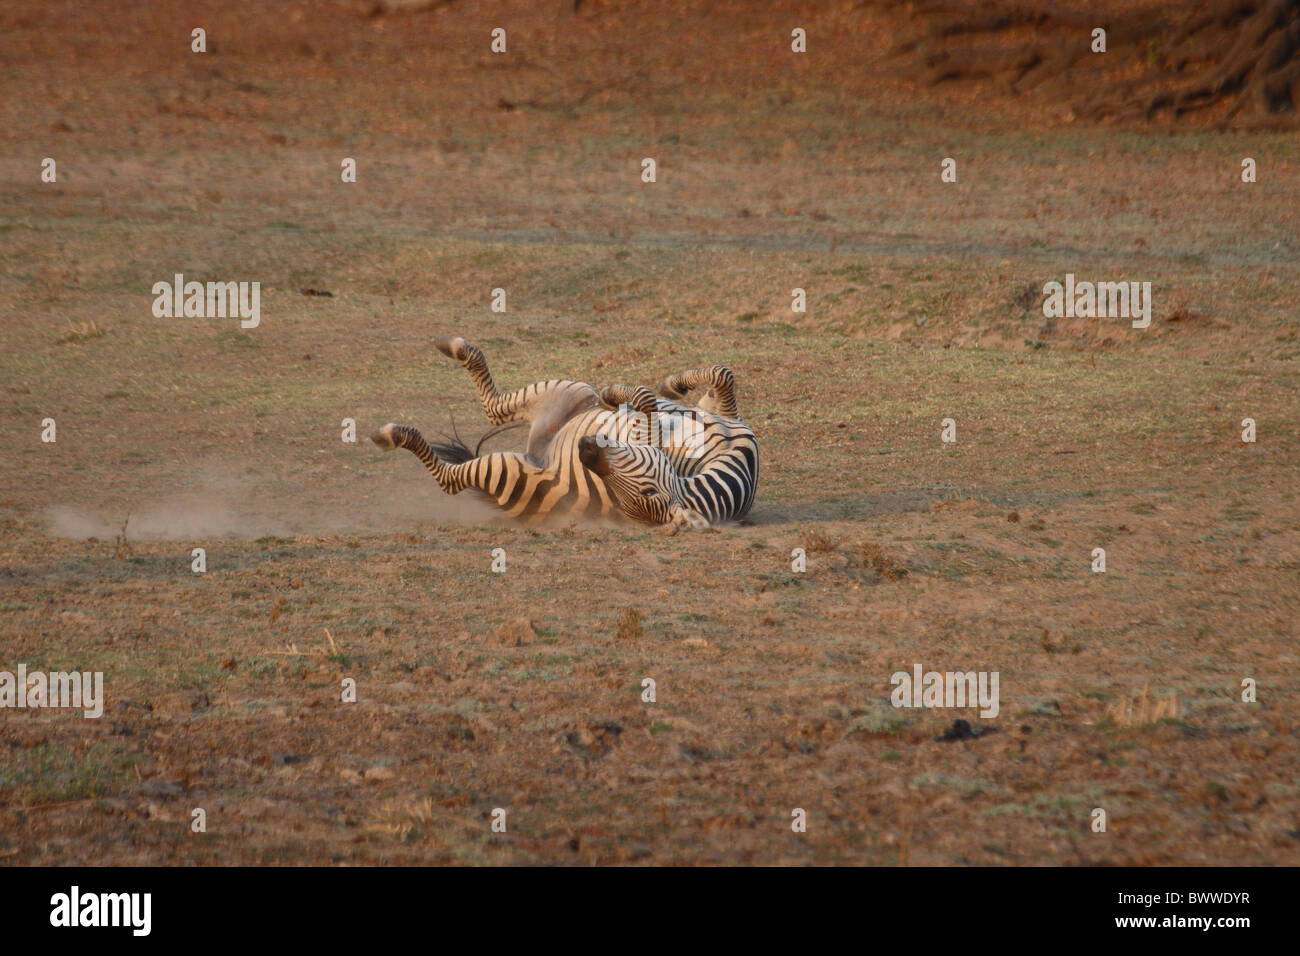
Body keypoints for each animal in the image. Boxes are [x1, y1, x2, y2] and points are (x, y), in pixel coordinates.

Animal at [370, 336, 758, 528]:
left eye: (643, 493)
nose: (586, 450)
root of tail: (539, 450)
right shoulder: (717, 413)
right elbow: (720, 374)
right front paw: (660, 386)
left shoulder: (647, 434)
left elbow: (649, 402)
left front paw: (628, 395)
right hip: (569, 392)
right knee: (496, 405)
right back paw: (455, 348)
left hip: (515, 467)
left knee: (453, 474)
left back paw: (391, 435)